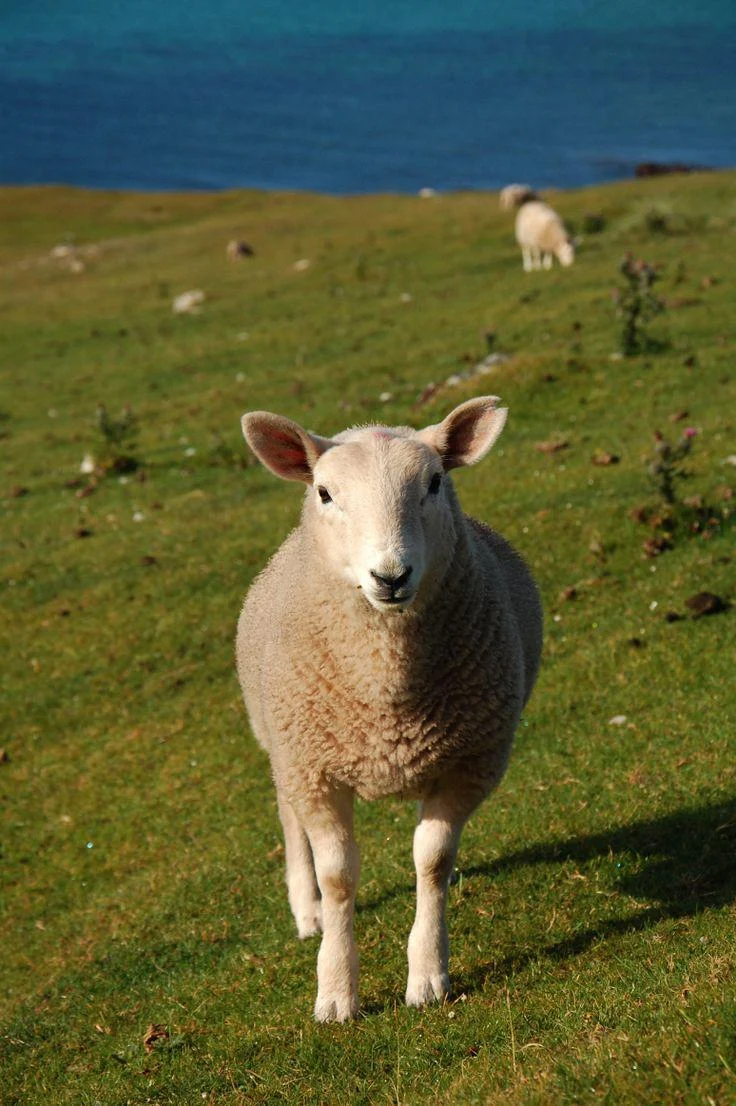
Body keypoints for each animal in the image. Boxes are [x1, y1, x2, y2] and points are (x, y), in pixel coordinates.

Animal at [236, 396, 543, 1022]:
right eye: (324, 493)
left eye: (435, 483)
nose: (391, 575)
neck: (386, 689)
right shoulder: (315, 770)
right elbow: (338, 877)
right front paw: (335, 990)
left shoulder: (469, 763)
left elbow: (433, 860)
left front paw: (428, 975)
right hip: (282, 745)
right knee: (287, 817)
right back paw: (306, 910)